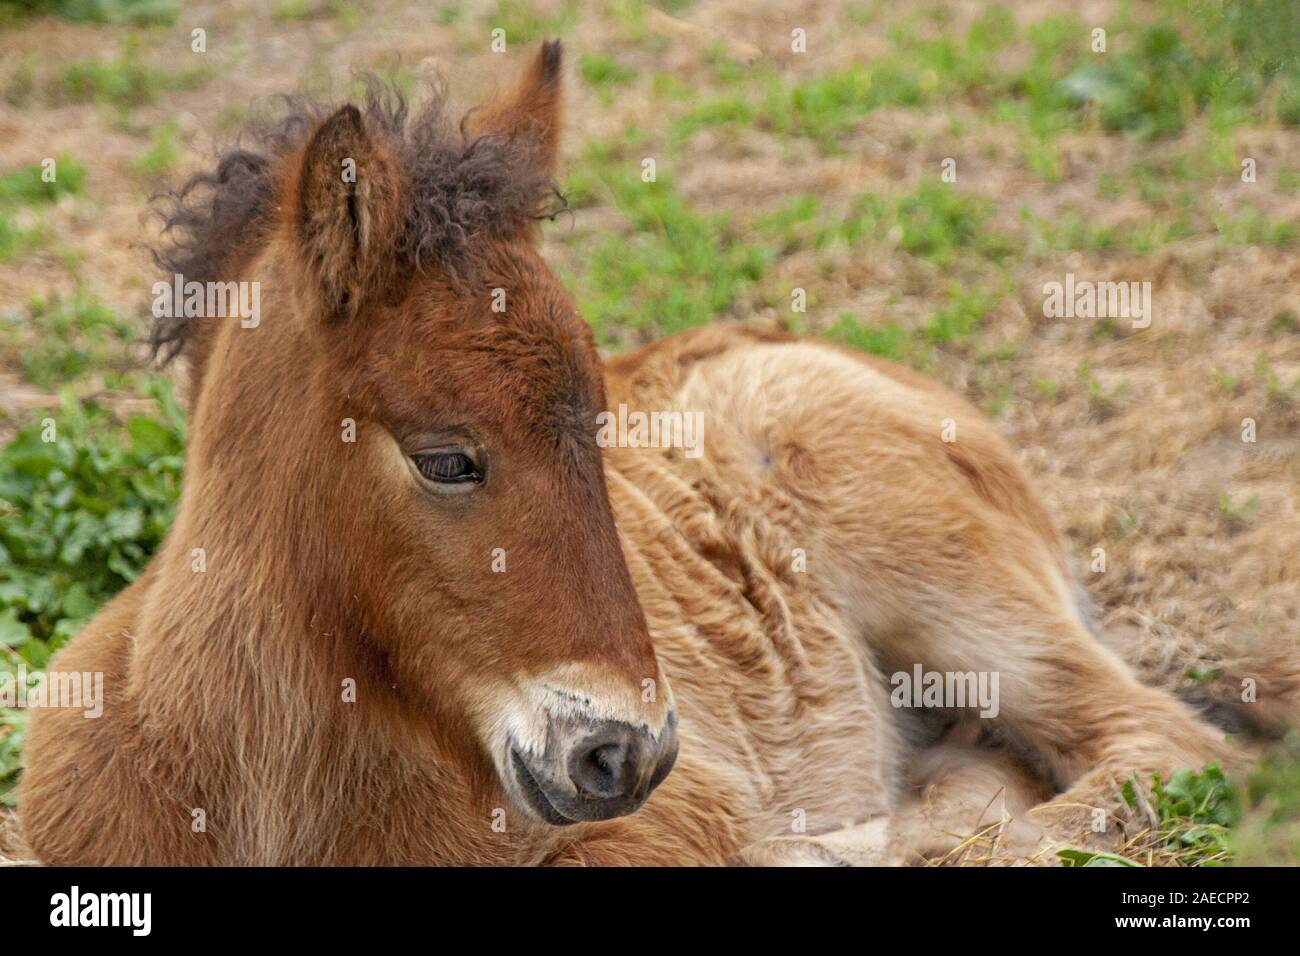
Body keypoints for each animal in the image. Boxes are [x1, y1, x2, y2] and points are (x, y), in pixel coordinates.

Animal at [19, 41, 1235, 865]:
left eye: (602, 435)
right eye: (447, 459)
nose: (627, 755)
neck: (255, 778)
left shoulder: (670, 822)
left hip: (952, 589)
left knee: (1158, 741)